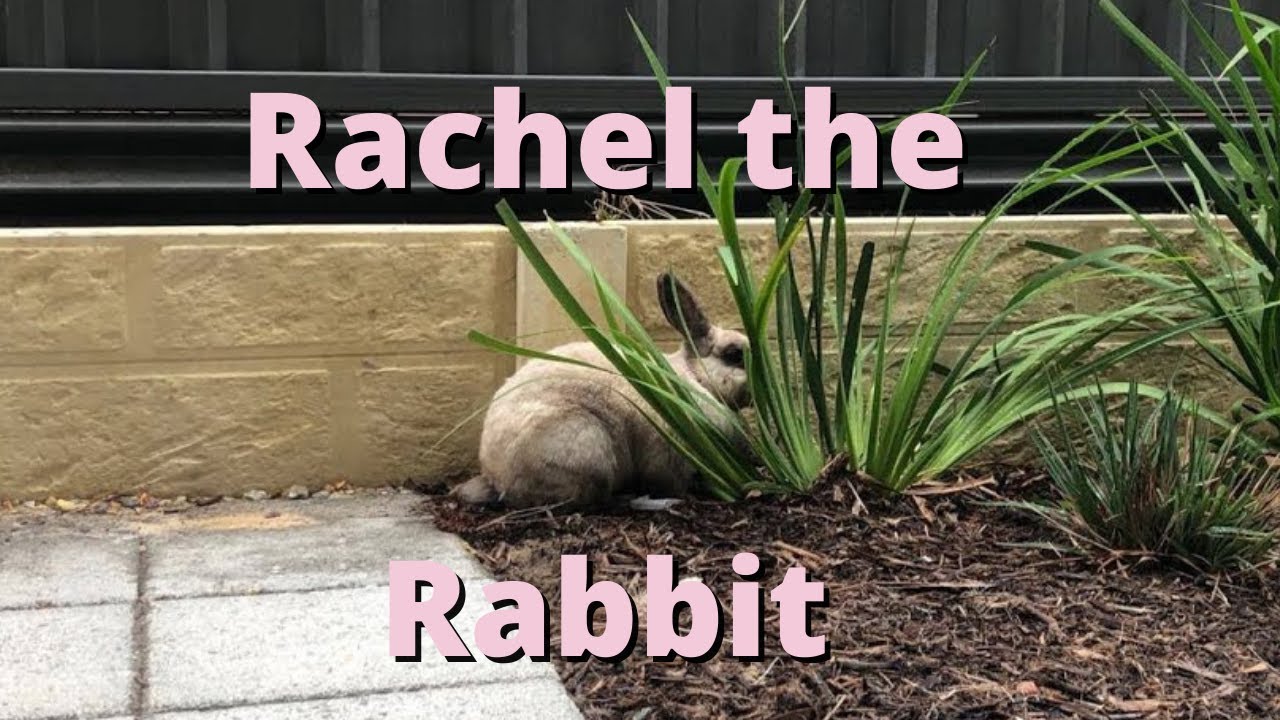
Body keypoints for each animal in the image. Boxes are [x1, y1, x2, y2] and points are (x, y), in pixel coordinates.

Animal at [452, 272, 752, 510]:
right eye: (735, 355)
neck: (695, 379)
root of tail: (496, 476)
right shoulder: (668, 453)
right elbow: (669, 482)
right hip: (590, 447)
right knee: (591, 501)